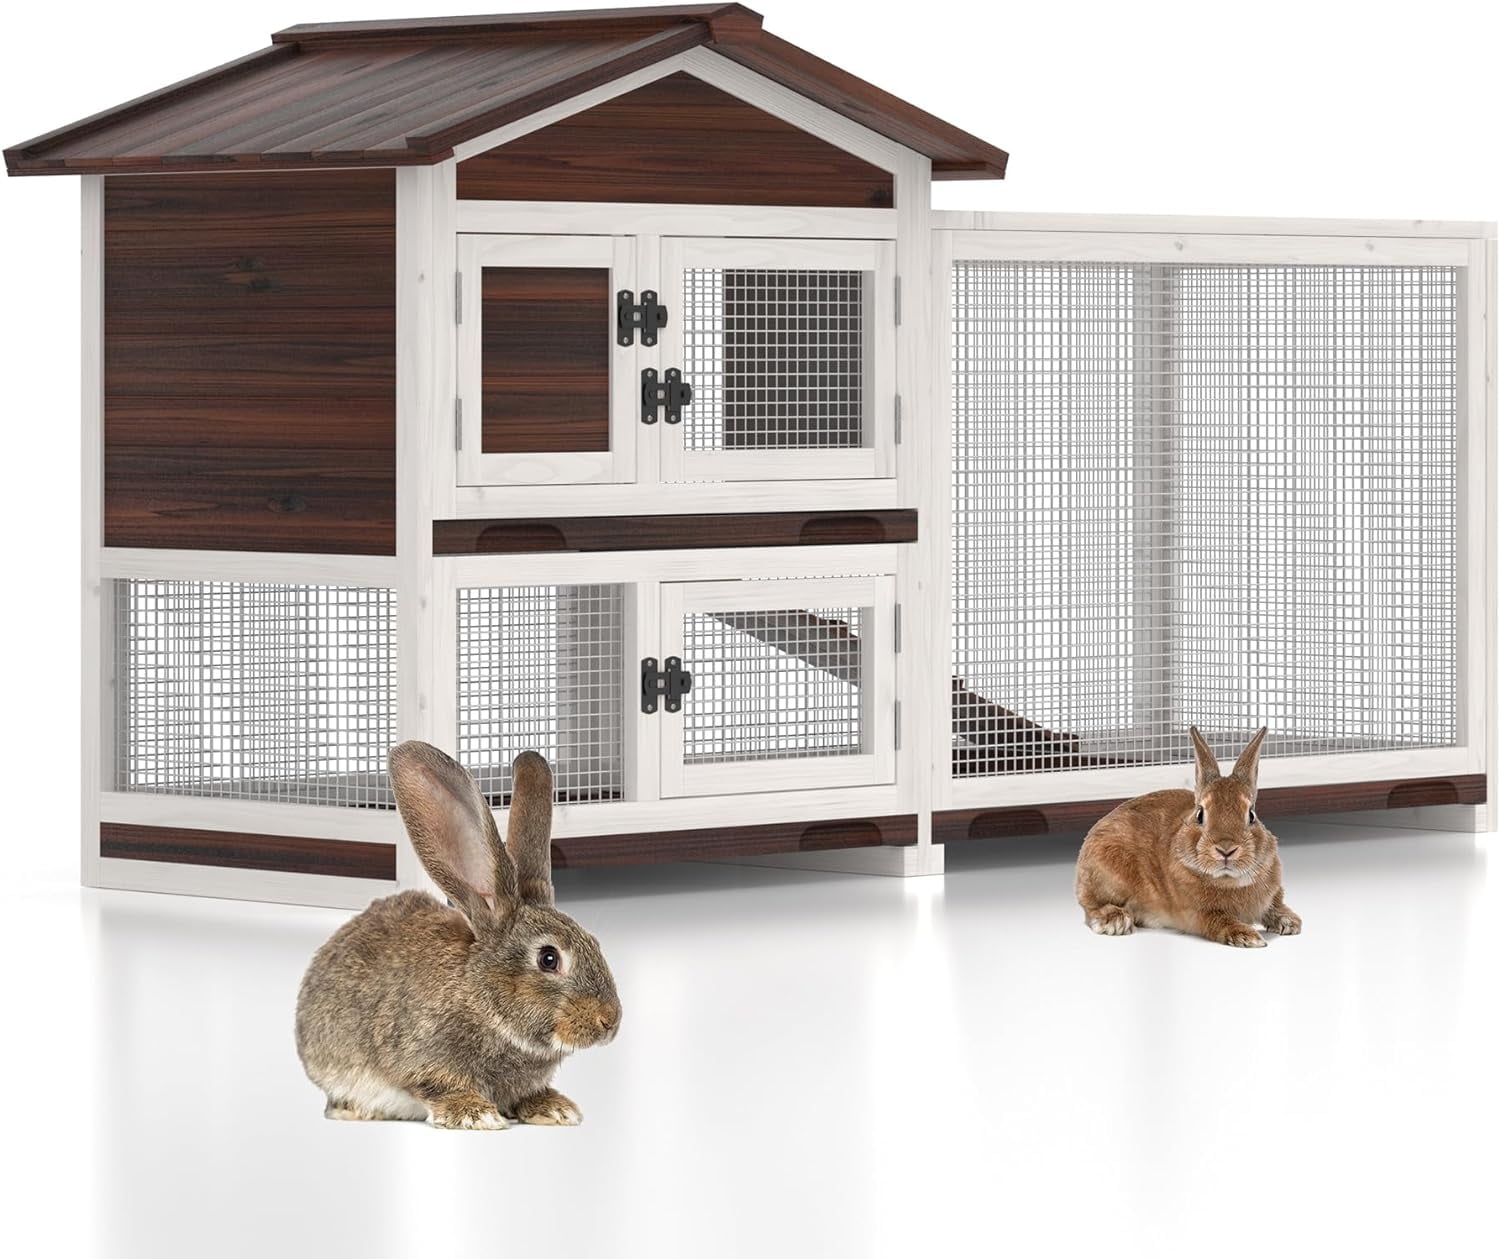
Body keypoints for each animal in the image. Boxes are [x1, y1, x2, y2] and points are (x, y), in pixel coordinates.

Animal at [295, 742, 620, 1129]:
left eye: (595, 942)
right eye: (549, 958)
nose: (610, 1021)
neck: (483, 1000)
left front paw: (555, 1109)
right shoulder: (422, 1057)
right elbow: (440, 1086)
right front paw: (476, 1115)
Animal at [1075, 727, 1301, 948]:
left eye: (1251, 815)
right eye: (1200, 814)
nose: (1226, 849)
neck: (1229, 880)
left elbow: (1275, 906)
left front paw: (1290, 922)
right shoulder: (1198, 913)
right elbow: (1219, 922)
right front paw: (1248, 937)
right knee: (1090, 906)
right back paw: (1116, 920)